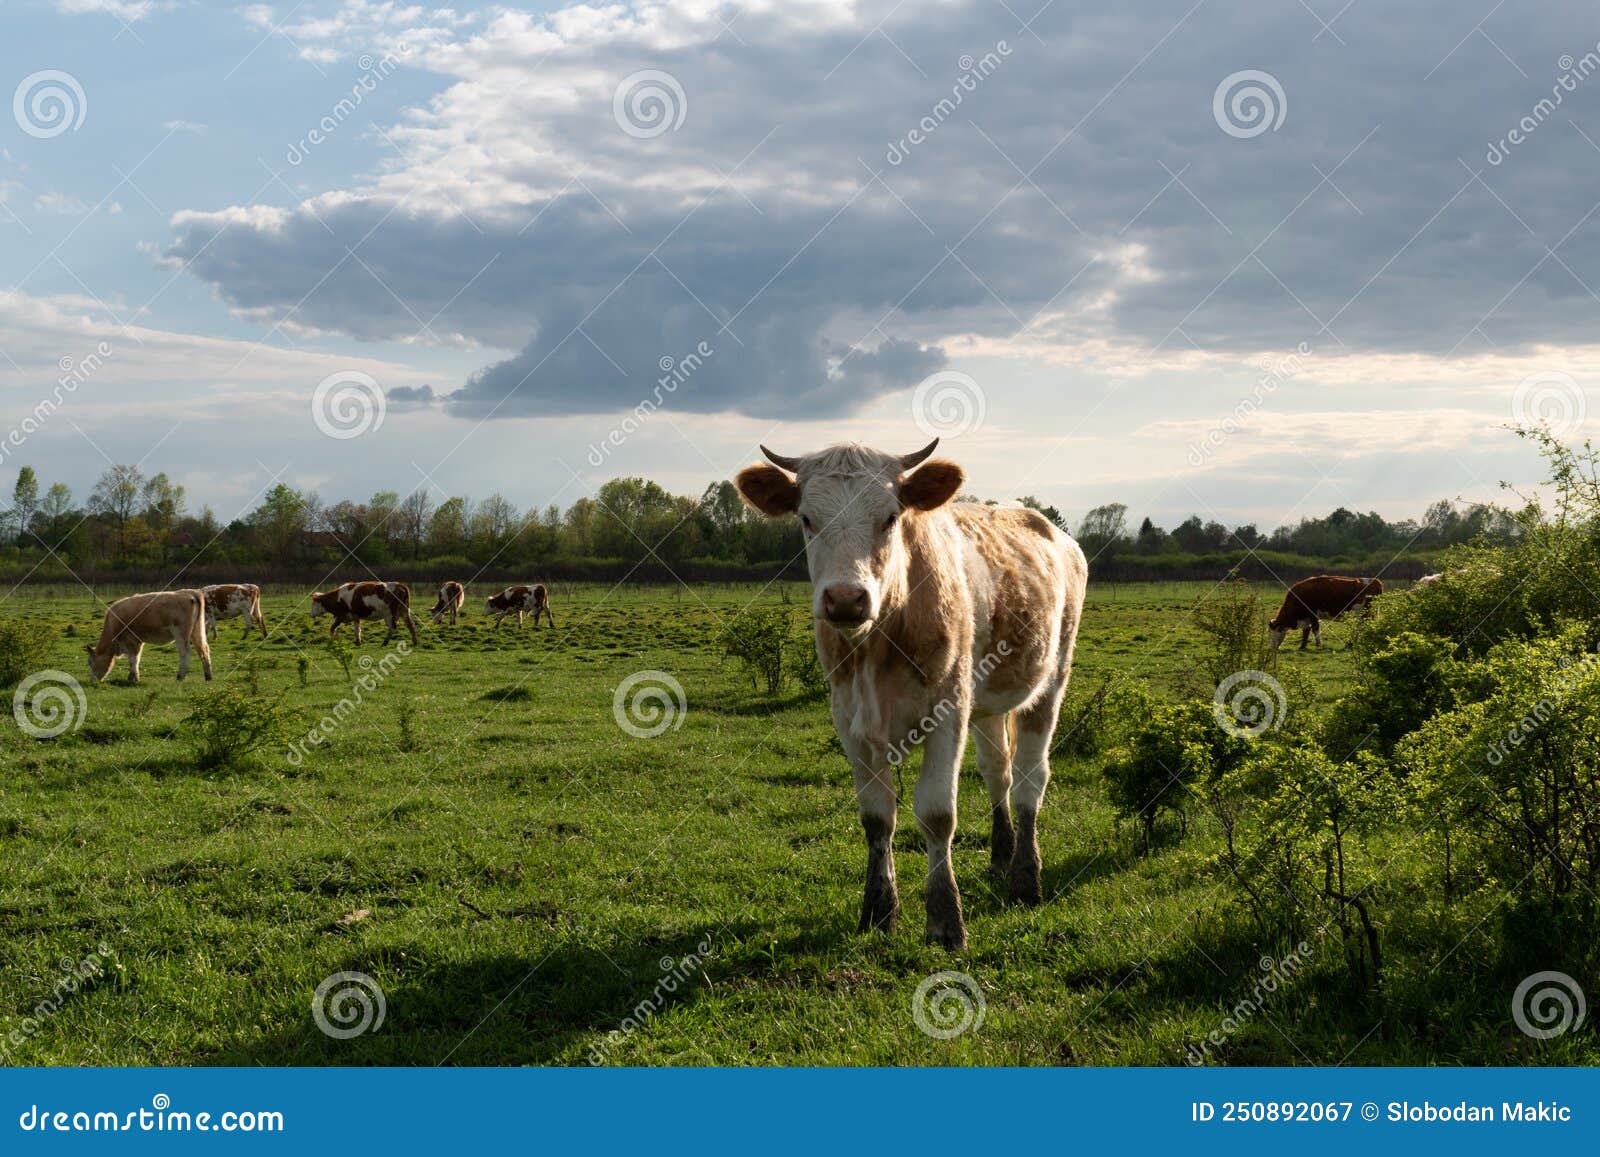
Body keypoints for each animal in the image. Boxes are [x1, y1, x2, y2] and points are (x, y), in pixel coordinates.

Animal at [735, 438, 1088, 950]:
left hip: (1051, 678)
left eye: (889, 517)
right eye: (806, 519)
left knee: (1029, 779)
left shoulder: (948, 711)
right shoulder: (848, 720)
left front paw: (945, 919)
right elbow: (877, 816)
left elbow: (937, 813)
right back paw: (1001, 857)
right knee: (997, 772)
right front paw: (879, 911)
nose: (846, 599)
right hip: (986, 703)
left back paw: (1026, 878)